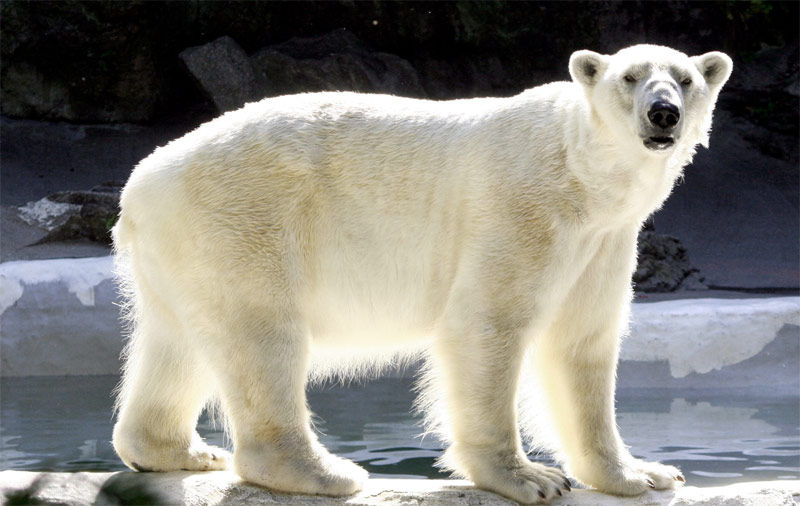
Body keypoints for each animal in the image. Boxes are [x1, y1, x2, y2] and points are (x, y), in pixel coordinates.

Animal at [111, 44, 731, 503]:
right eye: (631, 76)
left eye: (684, 79)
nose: (663, 112)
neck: (580, 172)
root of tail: (141, 183)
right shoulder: (522, 209)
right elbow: (488, 322)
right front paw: (530, 478)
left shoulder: (604, 239)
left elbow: (582, 342)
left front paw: (642, 473)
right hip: (243, 217)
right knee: (262, 335)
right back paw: (325, 472)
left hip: (182, 247)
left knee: (179, 341)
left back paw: (179, 450)